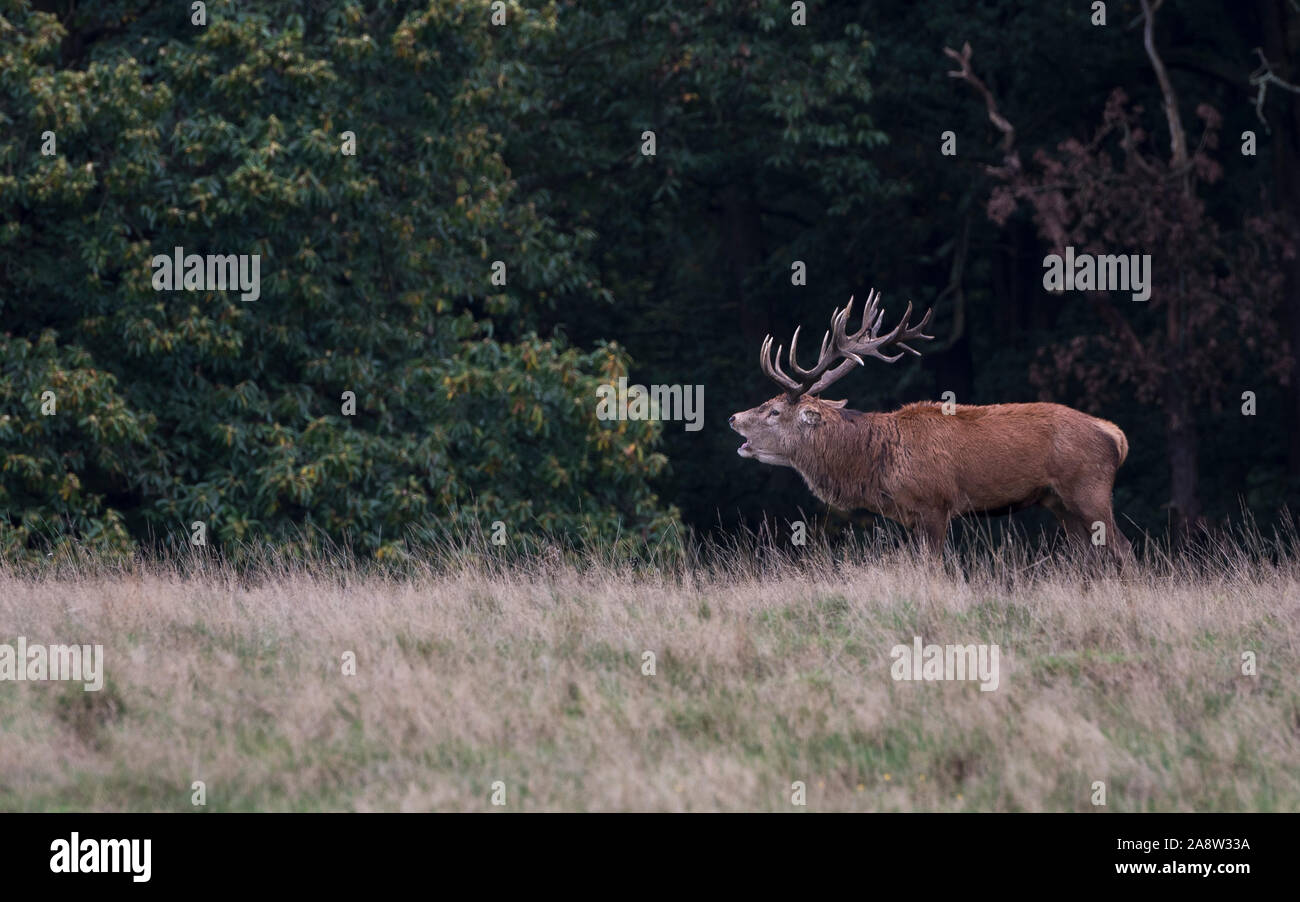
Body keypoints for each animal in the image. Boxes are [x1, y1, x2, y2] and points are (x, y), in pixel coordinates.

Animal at [729, 290, 1132, 562]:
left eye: (773, 412)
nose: (734, 418)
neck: (878, 465)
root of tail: (1116, 435)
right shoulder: (911, 517)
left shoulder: (935, 502)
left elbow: (932, 566)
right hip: (1058, 501)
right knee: (1088, 554)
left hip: (1089, 487)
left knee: (1123, 547)